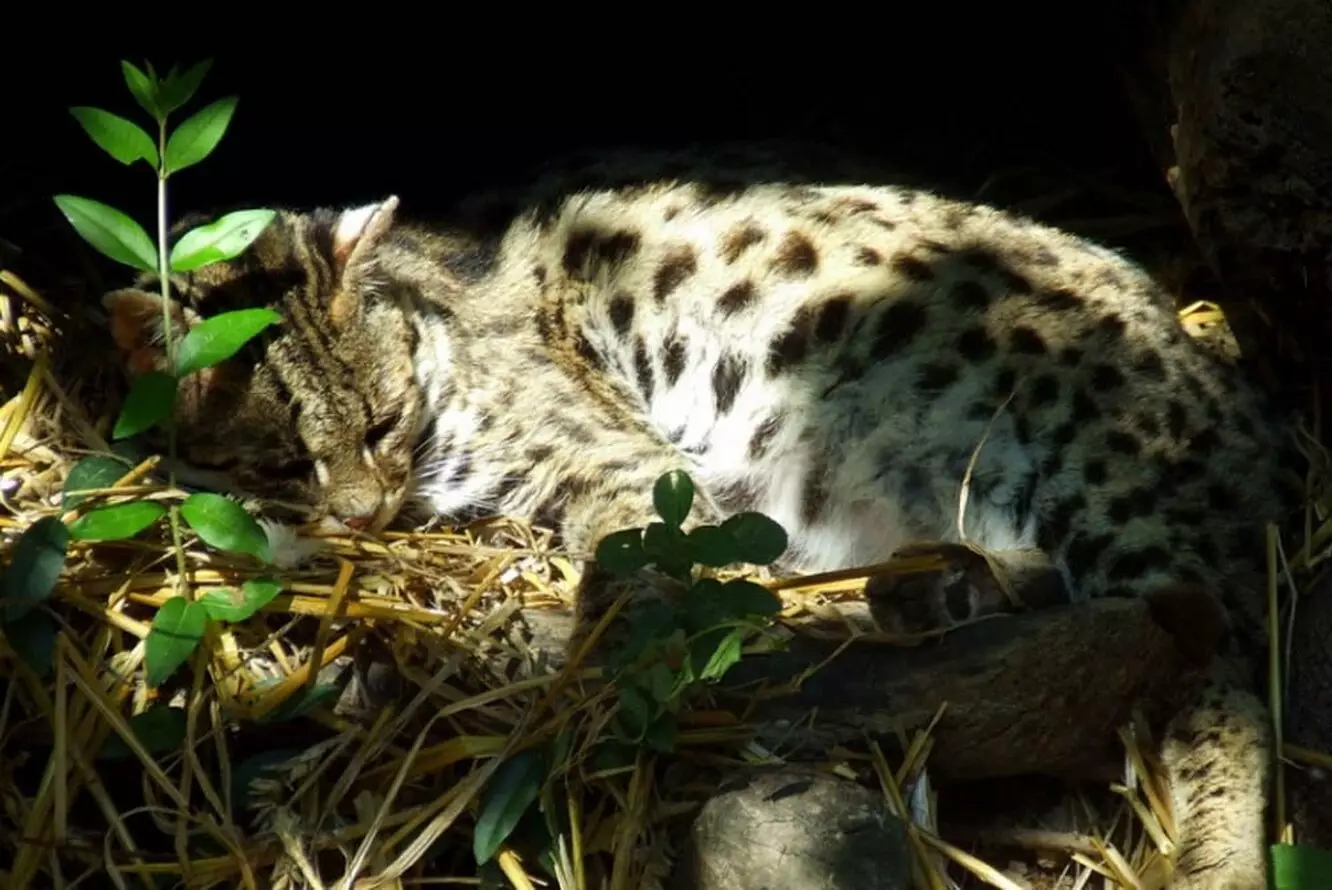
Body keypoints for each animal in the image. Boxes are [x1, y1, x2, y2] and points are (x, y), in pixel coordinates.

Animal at [101, 142, 1300, 884]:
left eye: (384, 420)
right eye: (287, 459)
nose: (364, 513)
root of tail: (1241, 394)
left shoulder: (621, 460)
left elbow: (635, 569)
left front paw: (570, 639)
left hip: (1119, 494)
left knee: (1216, 689)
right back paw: (924, 596)